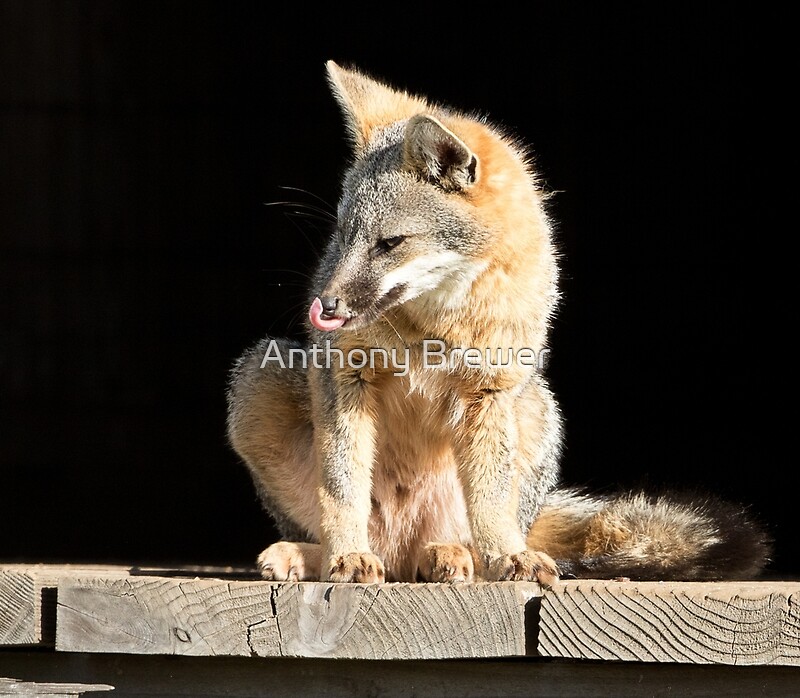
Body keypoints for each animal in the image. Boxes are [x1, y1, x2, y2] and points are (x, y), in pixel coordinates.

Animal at [226, 61, 771, 585]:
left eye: (390, 243)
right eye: (342, 235)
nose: (325, 306)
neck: (436, 330)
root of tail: (401, 548)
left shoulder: (489, 391)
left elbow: (490, 501)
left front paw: (506, 555)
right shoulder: (345, 375)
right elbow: (341, 490)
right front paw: (346, 553)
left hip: (534, 409)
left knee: (472, 532)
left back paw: (462, 555)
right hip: (259, 377)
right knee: (353, 531)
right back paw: (318, 554)